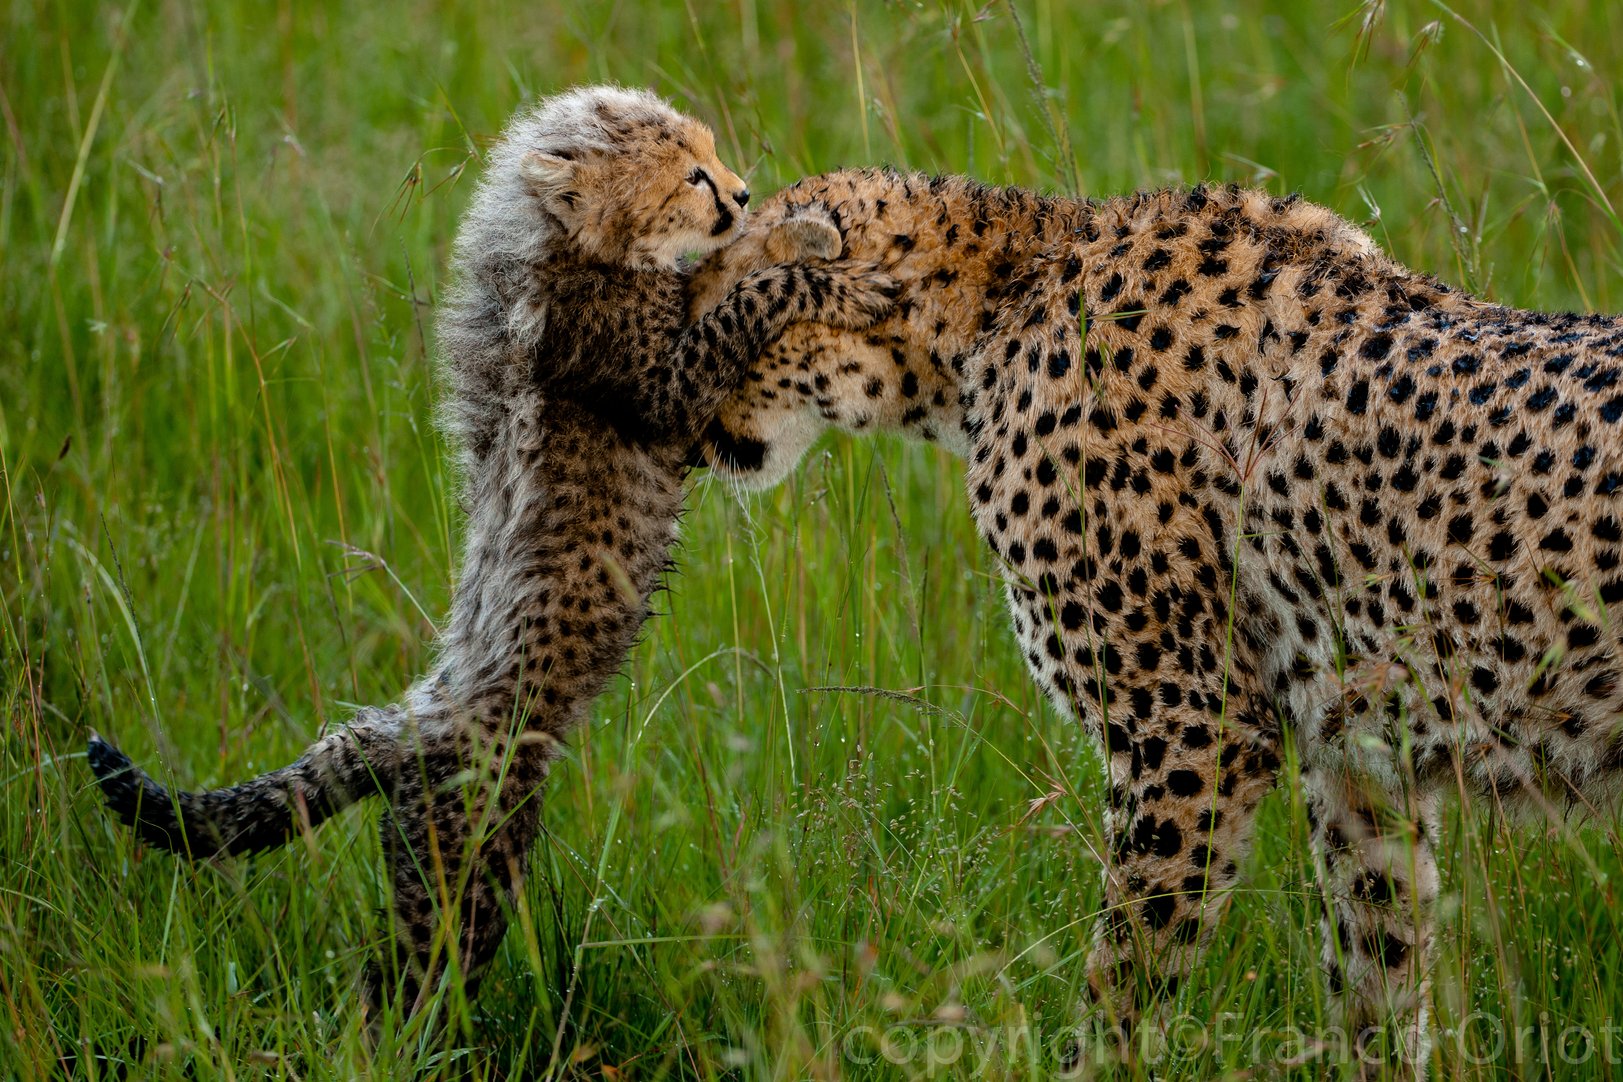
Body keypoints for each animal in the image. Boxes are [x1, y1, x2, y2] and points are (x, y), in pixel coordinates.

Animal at [87, 86, 895, 1012]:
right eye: (689, 173)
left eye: (711, 155)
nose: (739, 188)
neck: (570, 251)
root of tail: (403, 727)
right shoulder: (669, 395)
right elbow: (741, 300)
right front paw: (818, 263)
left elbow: (726, 273)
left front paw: (795, 230)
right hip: (465, 853)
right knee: (411, 977)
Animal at [689, 168, 1623, 1075]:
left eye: (706, 320)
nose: (682, 435)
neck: (1001, 293)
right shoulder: (1358, 756)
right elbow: (1376, 980)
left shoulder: (1192, 736)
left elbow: (1122, 988)